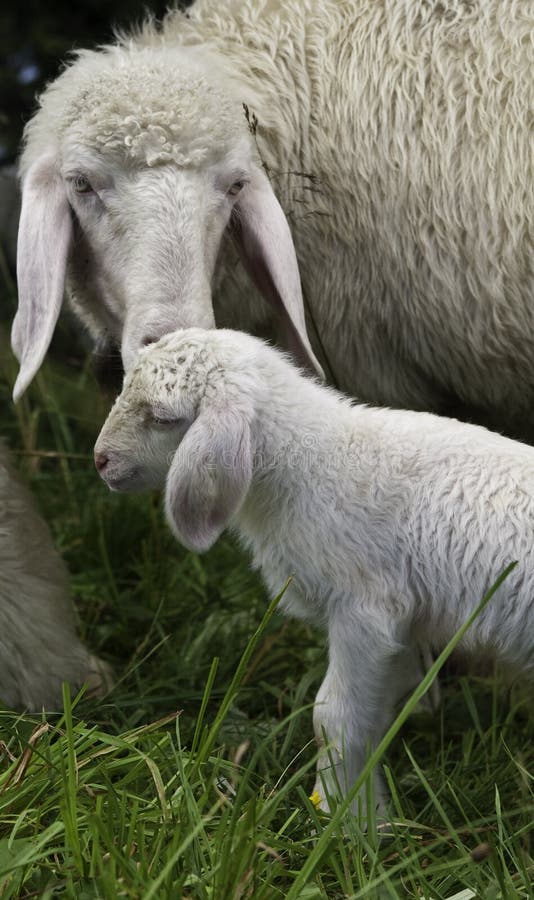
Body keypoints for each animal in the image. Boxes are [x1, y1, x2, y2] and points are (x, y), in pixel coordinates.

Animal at [94, 327, 534, 813]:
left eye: (162, 418)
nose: (100, 460)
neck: (310, 460)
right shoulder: (399, 626)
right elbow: (380, 706)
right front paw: (365, 804)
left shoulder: (364, 608)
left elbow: (332, 719)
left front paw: (345, 817)